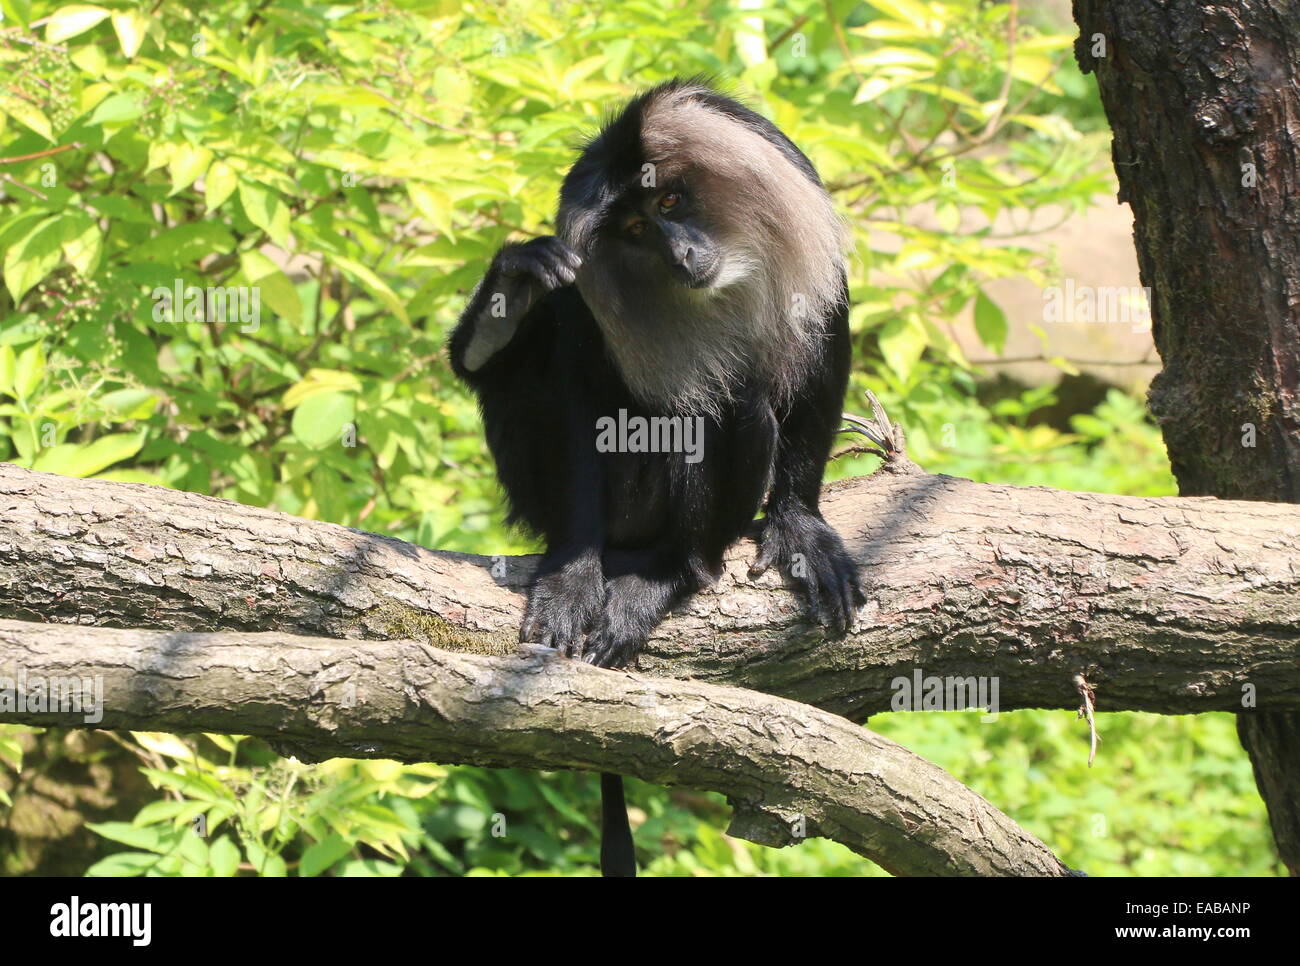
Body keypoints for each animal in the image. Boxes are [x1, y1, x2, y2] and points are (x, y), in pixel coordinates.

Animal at [448, 79, 864, 876]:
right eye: (636, 227)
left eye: (672, 202)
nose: (682, 253)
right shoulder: (581, 288)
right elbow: (575, 393)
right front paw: (573, 578)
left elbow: (820, 344)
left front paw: (801, 525)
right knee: (520, 371)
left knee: (734, 401)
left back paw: (667, 576)